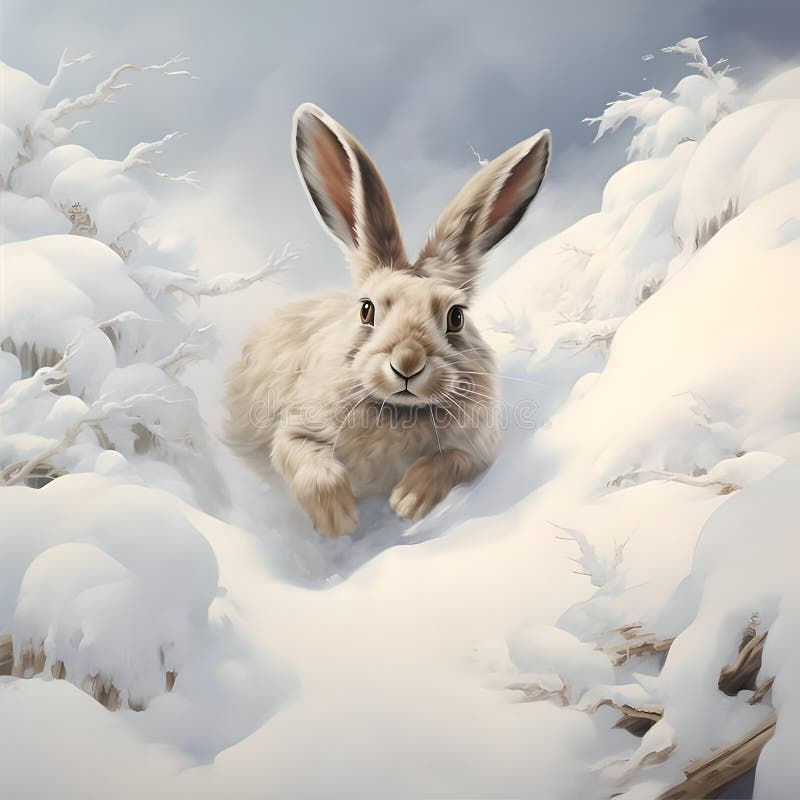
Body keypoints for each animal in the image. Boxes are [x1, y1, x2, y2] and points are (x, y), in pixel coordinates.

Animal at [224, 103, 550, 537]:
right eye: (367, 309)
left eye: (456, 317)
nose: (407, 363)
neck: (398, 410)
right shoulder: (294, 431)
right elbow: (305, 460)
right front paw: (338, 520)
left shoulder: (480, 450)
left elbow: (452, 460)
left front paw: (408, 500)